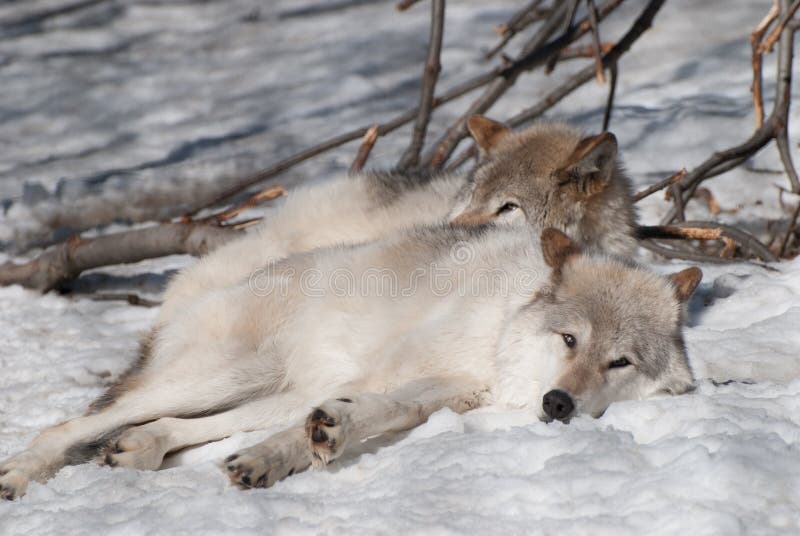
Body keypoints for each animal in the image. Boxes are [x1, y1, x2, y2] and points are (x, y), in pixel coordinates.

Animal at [0, 226, 698, 500]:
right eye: (570, 340)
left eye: (620, 362)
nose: (559, 404)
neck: (501, 326)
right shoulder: (398, 370)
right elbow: (350, 411)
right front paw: (289, 453)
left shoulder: (442, 390)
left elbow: (376, 412)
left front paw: (293, 451)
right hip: (218, 376)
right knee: (71, 425)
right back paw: (19, 476)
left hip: (268, 389)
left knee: (172, 428)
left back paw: (139, 449)